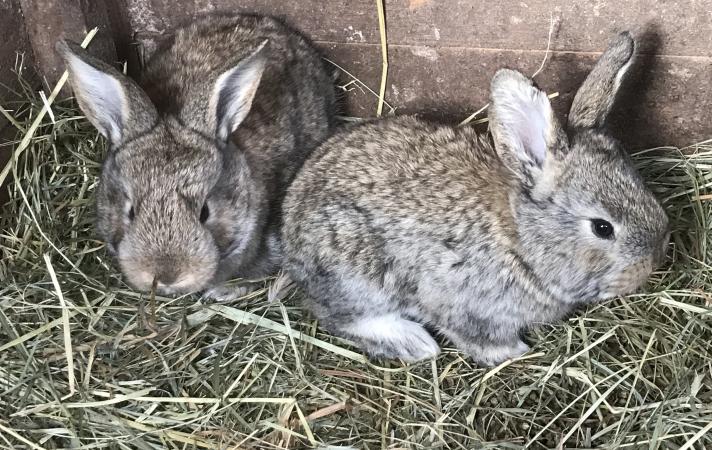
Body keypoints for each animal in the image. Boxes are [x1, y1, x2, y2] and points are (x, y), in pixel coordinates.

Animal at [281, 32, 670, 366]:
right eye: (602, 228)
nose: (653, 262)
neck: (519, 244)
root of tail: (289, 225)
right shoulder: (461, 305)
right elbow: (478, 338)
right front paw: (514, 353)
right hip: (356, 273)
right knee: (340, 317)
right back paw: (414, 343)